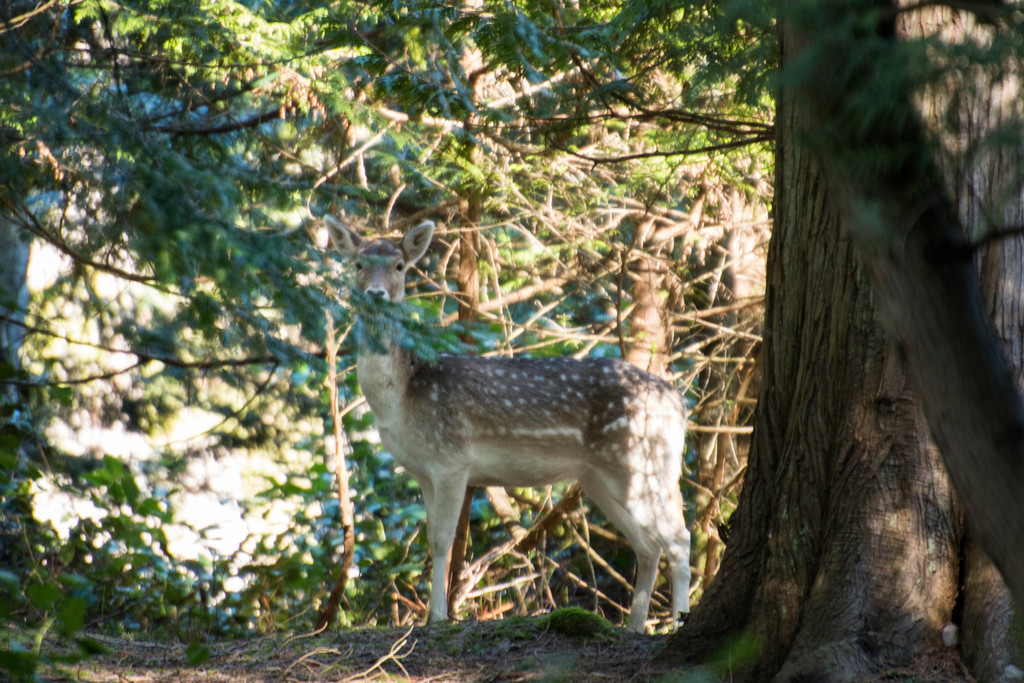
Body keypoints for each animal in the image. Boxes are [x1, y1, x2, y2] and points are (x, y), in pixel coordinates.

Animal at [325, 214, 691, 633]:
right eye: (358, 264)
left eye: (400, 266)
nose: (376, 293)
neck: (402, 400)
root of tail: (679, 405)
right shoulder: (423, 471)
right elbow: (432, 540)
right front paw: (435, 615)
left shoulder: (451, 460)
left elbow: (443, 540)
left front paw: (438, 617)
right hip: (599, 476)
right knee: (648, 546)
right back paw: (633, 627)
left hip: (643, 463)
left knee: (679, 539)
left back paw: (678, 623)